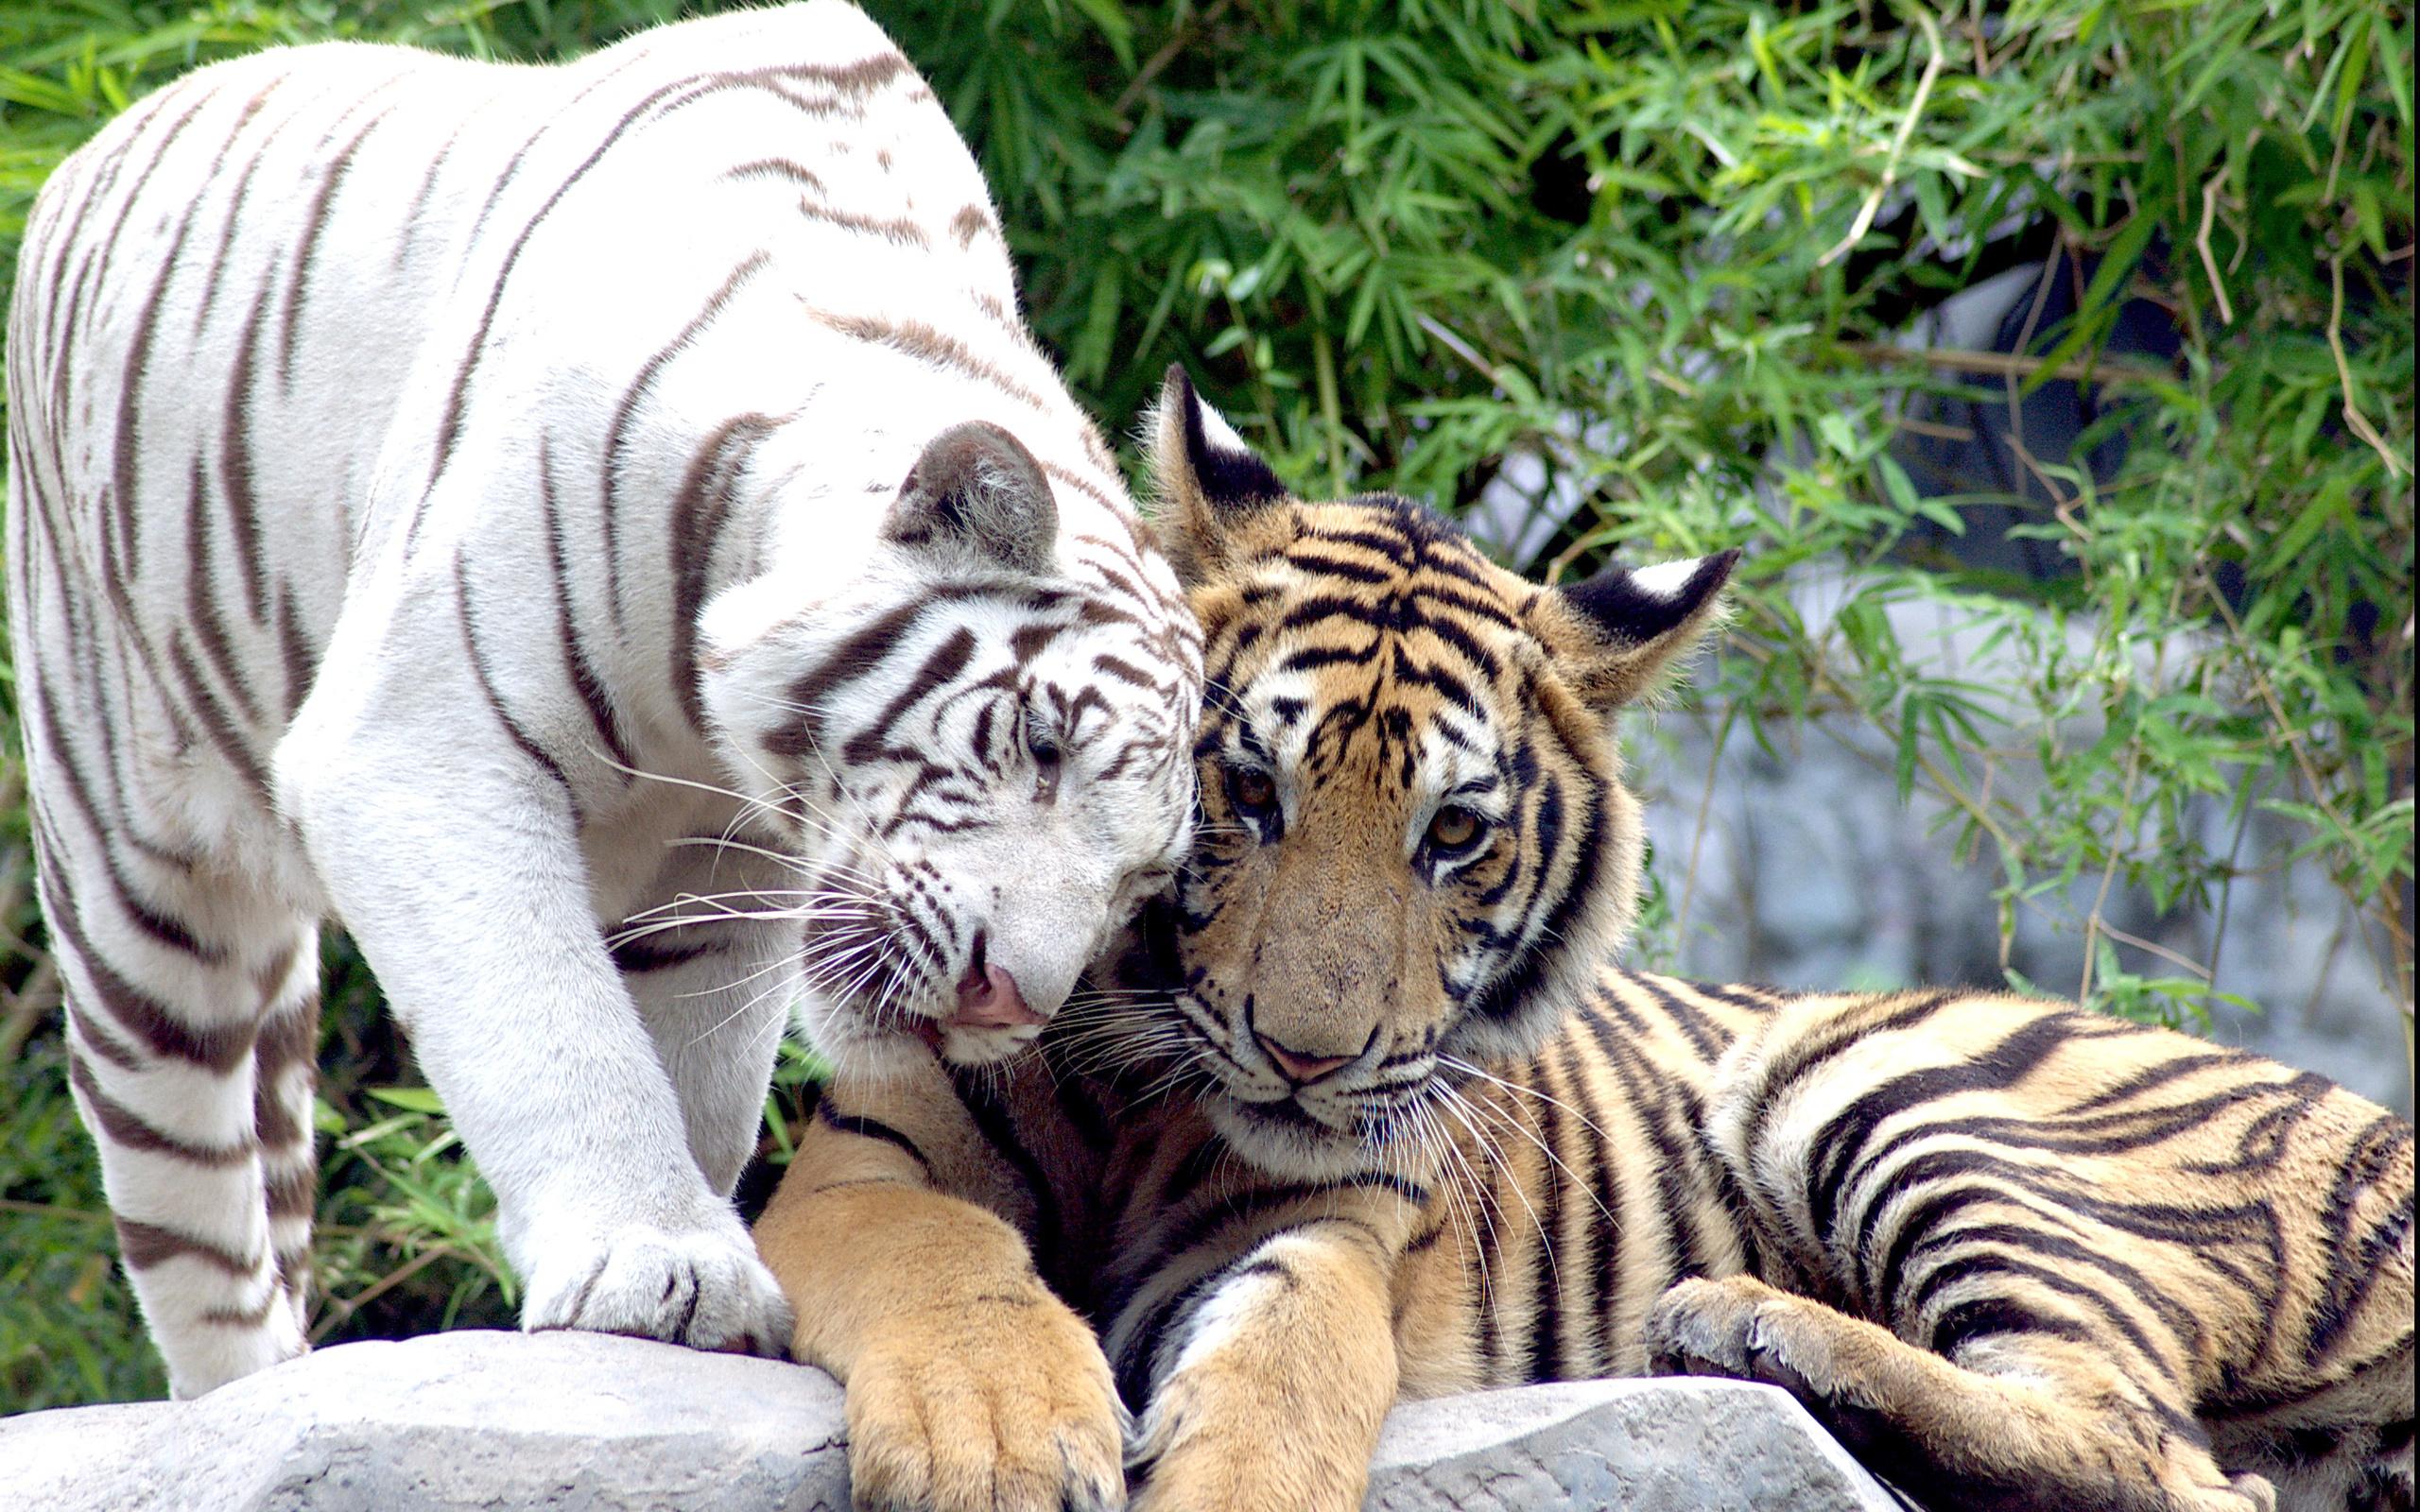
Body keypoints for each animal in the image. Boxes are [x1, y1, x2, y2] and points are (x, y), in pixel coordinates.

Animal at [5, 0, 1198, 1406]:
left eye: (1140, 883)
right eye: (1039, 742)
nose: (1014, 997)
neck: (702, 704)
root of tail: (108, 128)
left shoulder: (723, 864)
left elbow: (688, 1072)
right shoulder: (422, 745)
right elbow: (555, 1033)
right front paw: (655, 1265)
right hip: (134, 886)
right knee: (195, 1223)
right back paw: (248, 1399)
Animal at [755, 366, 2415, 1512]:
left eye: (1454, 835)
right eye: (1248, 788)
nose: (1306, 1058)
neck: (1140, 1104)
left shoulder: (1333, 1228)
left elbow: (1287, 1378)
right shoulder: (860, 1164)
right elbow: (953, 1261)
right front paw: (992, 1448)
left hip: (1876, 1081)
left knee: (2165, 1456)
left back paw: (1750, 1329)